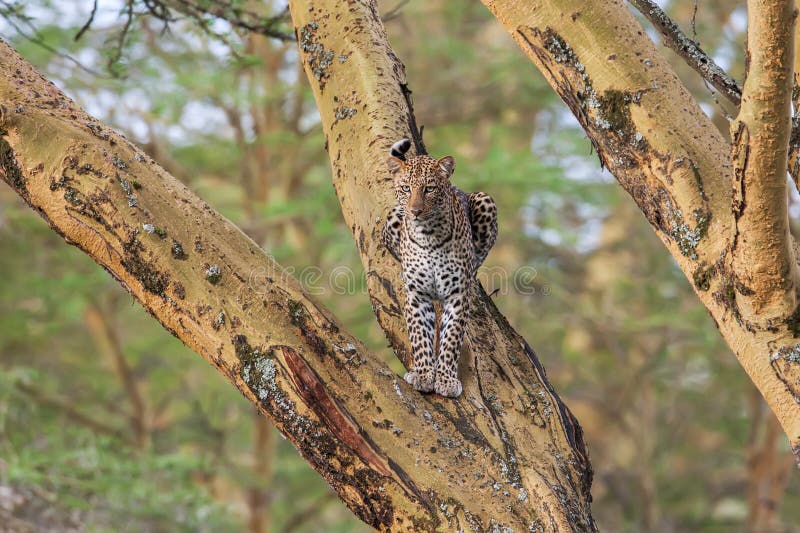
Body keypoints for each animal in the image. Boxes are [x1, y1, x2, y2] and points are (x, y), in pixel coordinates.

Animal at [382, 138, 498, 398]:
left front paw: (445, 378)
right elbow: (419, 336)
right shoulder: (417, 293)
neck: (428, 236)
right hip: (392, 217)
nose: (415, 211)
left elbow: (452, 338)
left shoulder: (458, 294)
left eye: (429, 189)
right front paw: (424, 374)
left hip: (485, 200)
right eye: (406, 189)